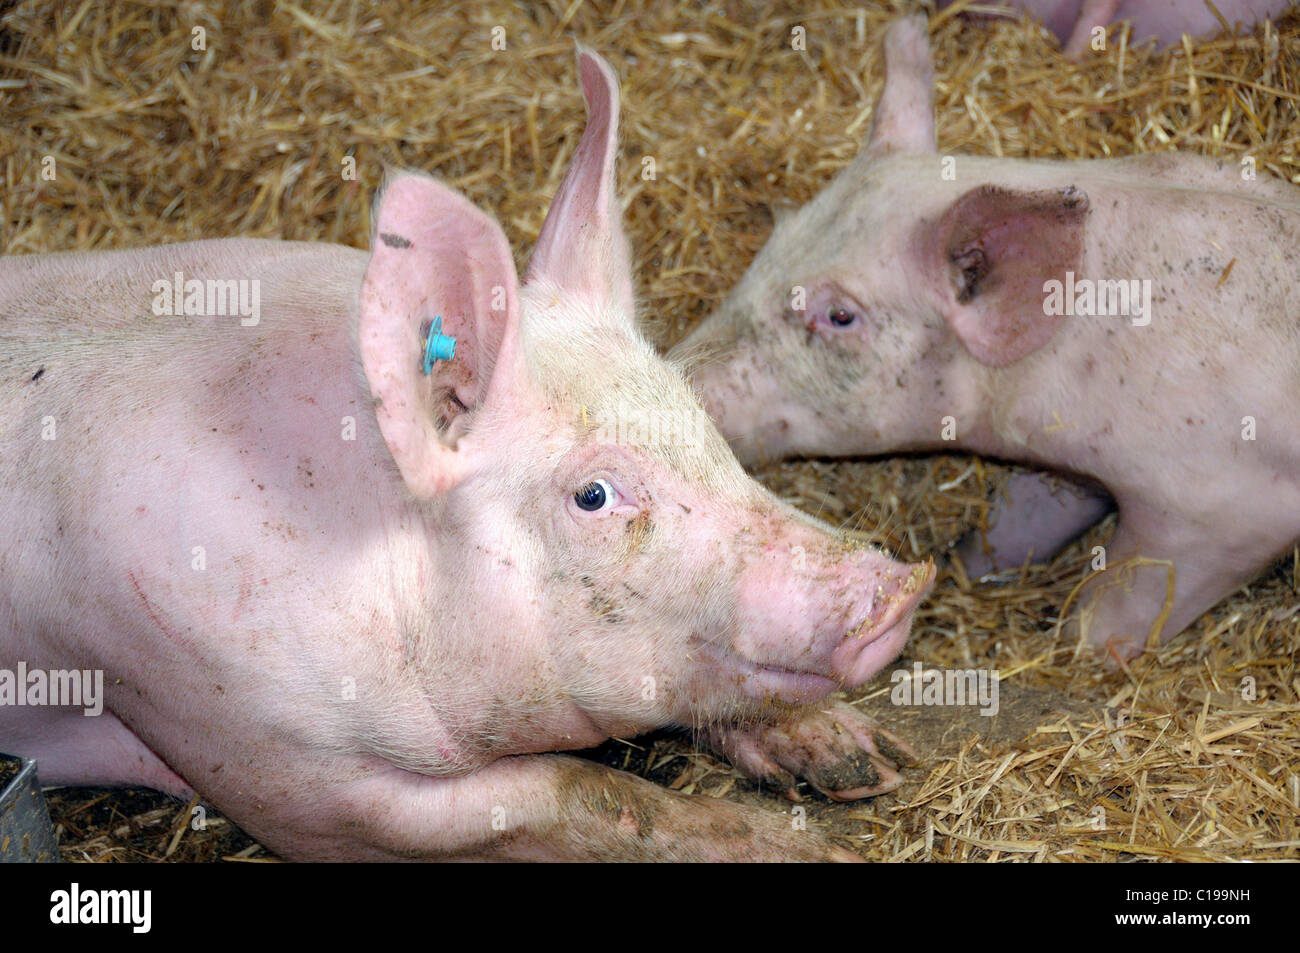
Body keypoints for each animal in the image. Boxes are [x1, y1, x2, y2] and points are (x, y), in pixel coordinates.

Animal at [0, 48, 935, 862]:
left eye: (697, 419)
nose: (897, 586)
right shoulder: (263, 754)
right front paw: (817, 849)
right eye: (594, 495)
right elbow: (584, 796)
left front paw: (870, 762)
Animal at [675, 16, 1300, 663]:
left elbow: (1136, 590)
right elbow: (1025, 514)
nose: (673, 372)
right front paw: (966, 561)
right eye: (774, 236)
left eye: (840, 315)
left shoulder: (1219, 504)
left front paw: (1073, 646)